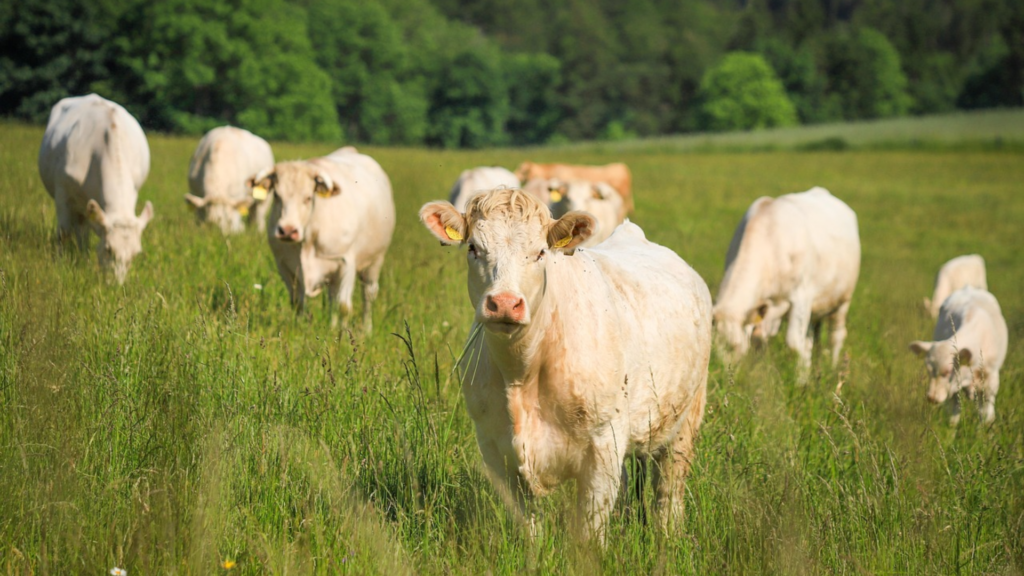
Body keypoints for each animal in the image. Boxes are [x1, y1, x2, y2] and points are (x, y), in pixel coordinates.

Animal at [38, 94, 154, 284]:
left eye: (135, 254)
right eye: (108, 249)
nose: (116, 285)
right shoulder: (62, 193)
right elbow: (64, 232)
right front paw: (61, 265)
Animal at [252, 148, 395, 332]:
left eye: (308, 197)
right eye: (276, 195)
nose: (288, 230)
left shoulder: (346, 263)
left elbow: (344, 307)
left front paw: (343, 335)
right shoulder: (284, 266)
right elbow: (298, 303)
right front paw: (299, 329)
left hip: (375, 262)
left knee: (368, 295)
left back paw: (367, 329)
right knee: (332, 297)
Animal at [418, 188, 712, 543]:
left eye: (541, 252)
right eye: (474, 248)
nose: (504, 303)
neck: (522, 374)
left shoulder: (603, 445)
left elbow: (589, 532)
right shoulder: (494, 446)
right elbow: (530, 527)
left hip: (686, 419)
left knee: (668, 491)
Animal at [713, 187, 861, 373]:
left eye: (735, 346)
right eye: (712, 350)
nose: (724, 375)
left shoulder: (801, 297)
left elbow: (794, 343)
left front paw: (801, 378)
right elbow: (760, 340)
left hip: (843, 300)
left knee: (836, 335)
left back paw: (833, 370)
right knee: (812, 338)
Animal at [909, 286, 1007, 425]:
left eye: (947, 371)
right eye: (928, 370)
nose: (932, 398)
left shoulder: (991, 379)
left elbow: (986, 410)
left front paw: (986, 428)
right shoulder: (954, 385)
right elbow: (955, 410)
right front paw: (952, 428)